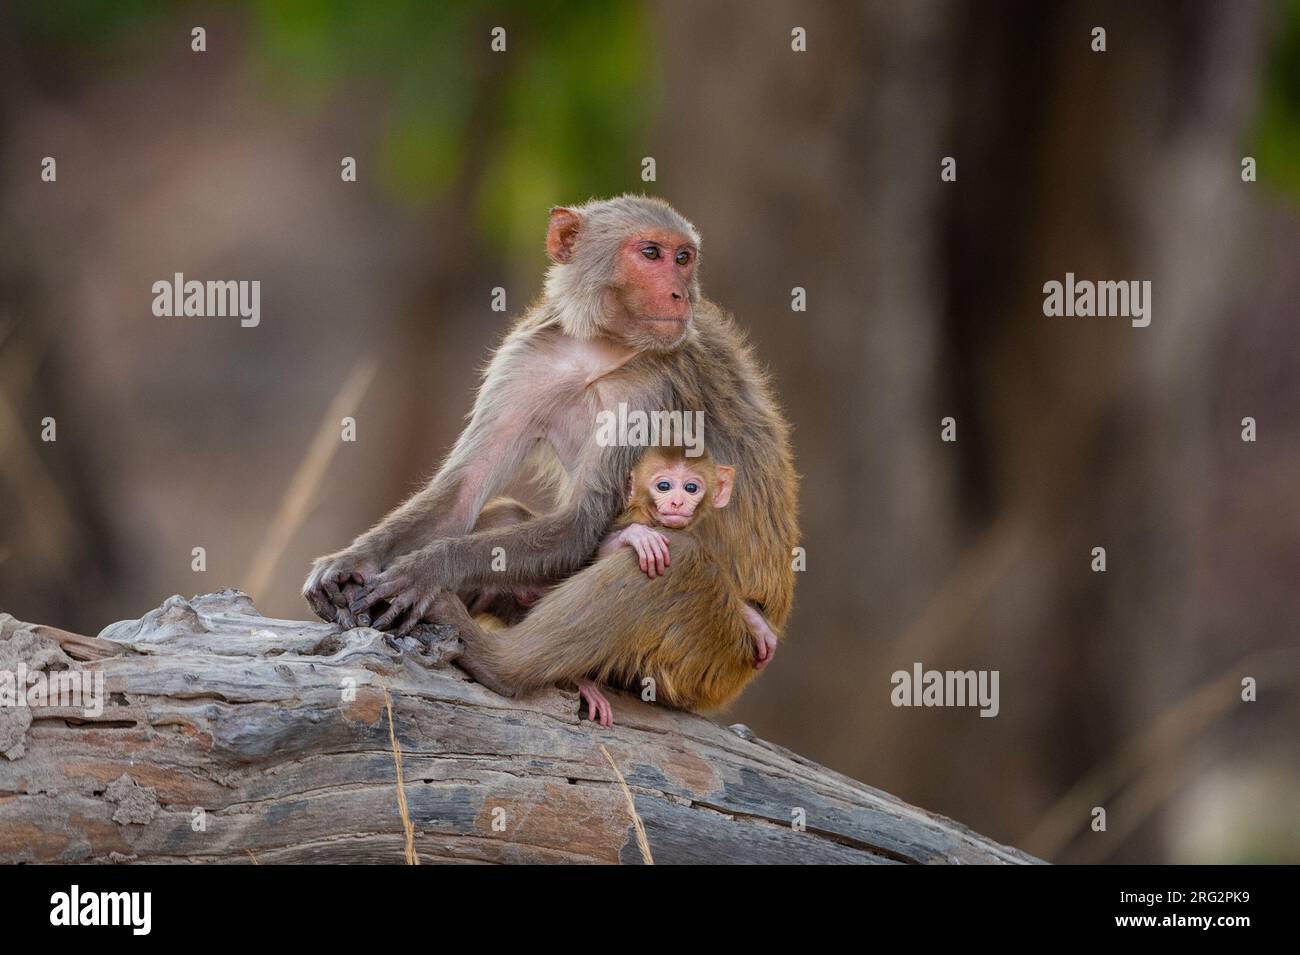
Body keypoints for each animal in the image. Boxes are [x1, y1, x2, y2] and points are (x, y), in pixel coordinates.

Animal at [303, 194, 798, 716]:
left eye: (684, 258)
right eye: (652, 254)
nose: (681, 294)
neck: (600, 349)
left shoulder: (651, 389)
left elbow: (582, 523)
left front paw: (427, 570)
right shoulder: (530, 356)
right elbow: (463, 494)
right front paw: (351, 561)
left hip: (709, 655)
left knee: (676, 560)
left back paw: (494, 658)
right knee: (506, 518)